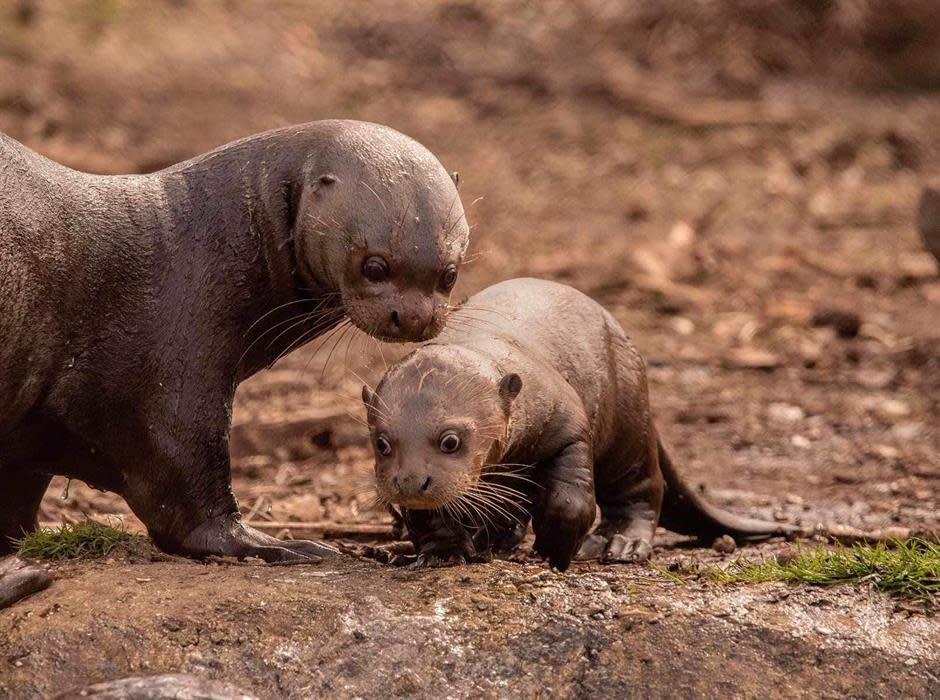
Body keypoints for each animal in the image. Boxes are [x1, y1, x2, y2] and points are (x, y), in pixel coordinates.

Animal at [0, 120, 469, 562]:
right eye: (374, 266)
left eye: (450, 274)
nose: (414, 318)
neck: (198, 246)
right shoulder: (169, 371)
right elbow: (187, 497)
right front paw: (286, 546)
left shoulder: (29, 436)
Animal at [363, 278, 796, 570]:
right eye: (382, 443)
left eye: (451, 440)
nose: (409, 481)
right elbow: (428, 517)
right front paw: (443, 552)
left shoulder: (567, 425)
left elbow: (570, 499)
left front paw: (556, 549)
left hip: (628, 425)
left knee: (642, 488)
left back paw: (619, 545)